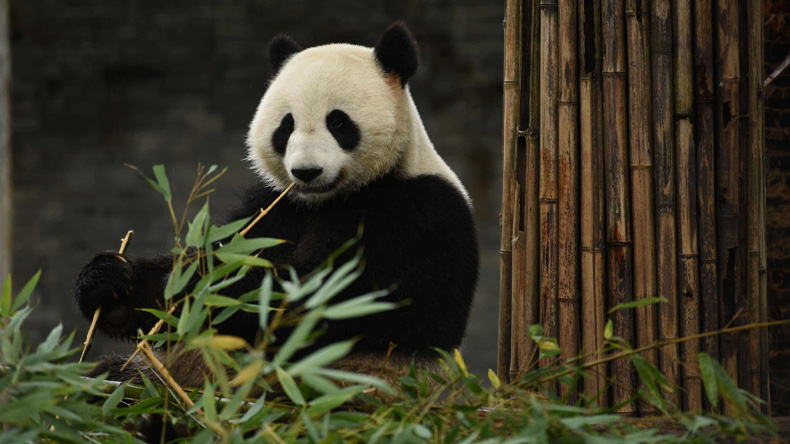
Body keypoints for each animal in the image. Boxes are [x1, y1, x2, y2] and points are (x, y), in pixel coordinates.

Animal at [74, 21, 478, 392]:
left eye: (338, 122)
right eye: (286, 126)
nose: (306, 171)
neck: (328, 199)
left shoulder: (415, 213)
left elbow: (310, 295)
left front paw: (186, 283)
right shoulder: (274, 208)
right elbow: (235, 250)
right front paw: (110, 282)